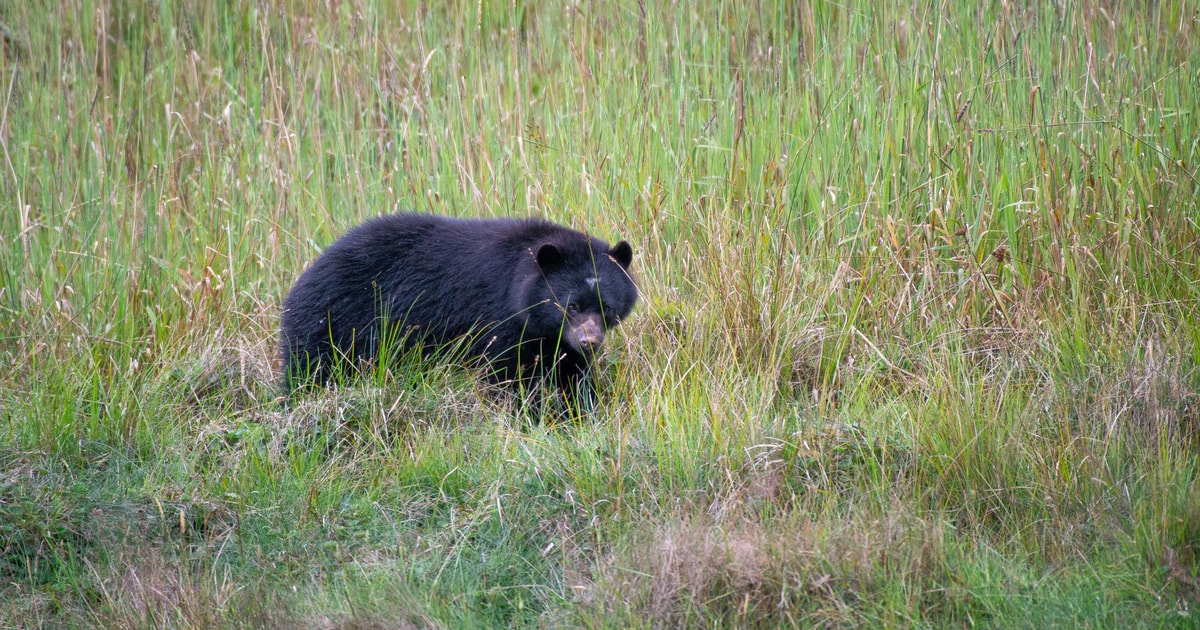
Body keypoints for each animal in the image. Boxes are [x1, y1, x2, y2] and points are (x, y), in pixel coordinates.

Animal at [279, 213, 637, 407]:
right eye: (571, 305)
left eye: (606, 308)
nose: (590, 341)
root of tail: (301, 280)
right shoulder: (498, 321)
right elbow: (507, 374)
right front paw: (529, 413)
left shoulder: (554, 339)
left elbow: (571, 374)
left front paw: (578, 411)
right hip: (333, 321)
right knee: (310, 368)